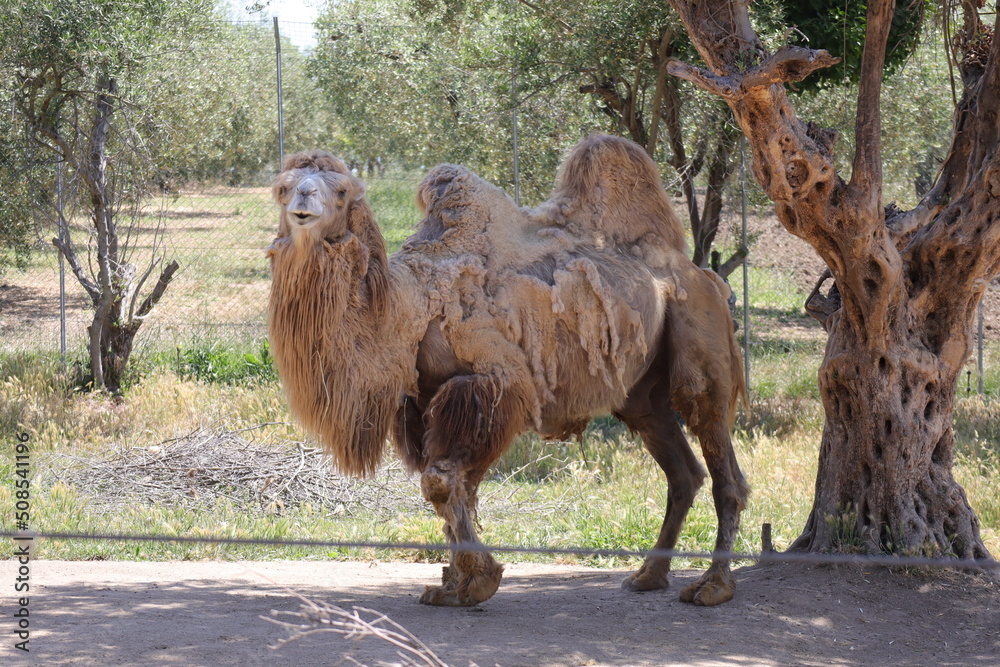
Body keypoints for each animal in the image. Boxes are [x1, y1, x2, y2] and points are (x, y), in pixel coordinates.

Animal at [267, 134, 749, 607]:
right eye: (283, 188)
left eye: (343, 191)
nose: (304, 200)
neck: (410, 309)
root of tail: (702, 275)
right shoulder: (422, 401)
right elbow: (447, 488)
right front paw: (452, 585)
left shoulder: (494, 386)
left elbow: (441, 482)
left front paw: (477, 582)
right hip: (643, 395)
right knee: (682, 471)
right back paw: (649, 575)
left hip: (700, 340)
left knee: (721, 460)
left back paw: (712, 585)